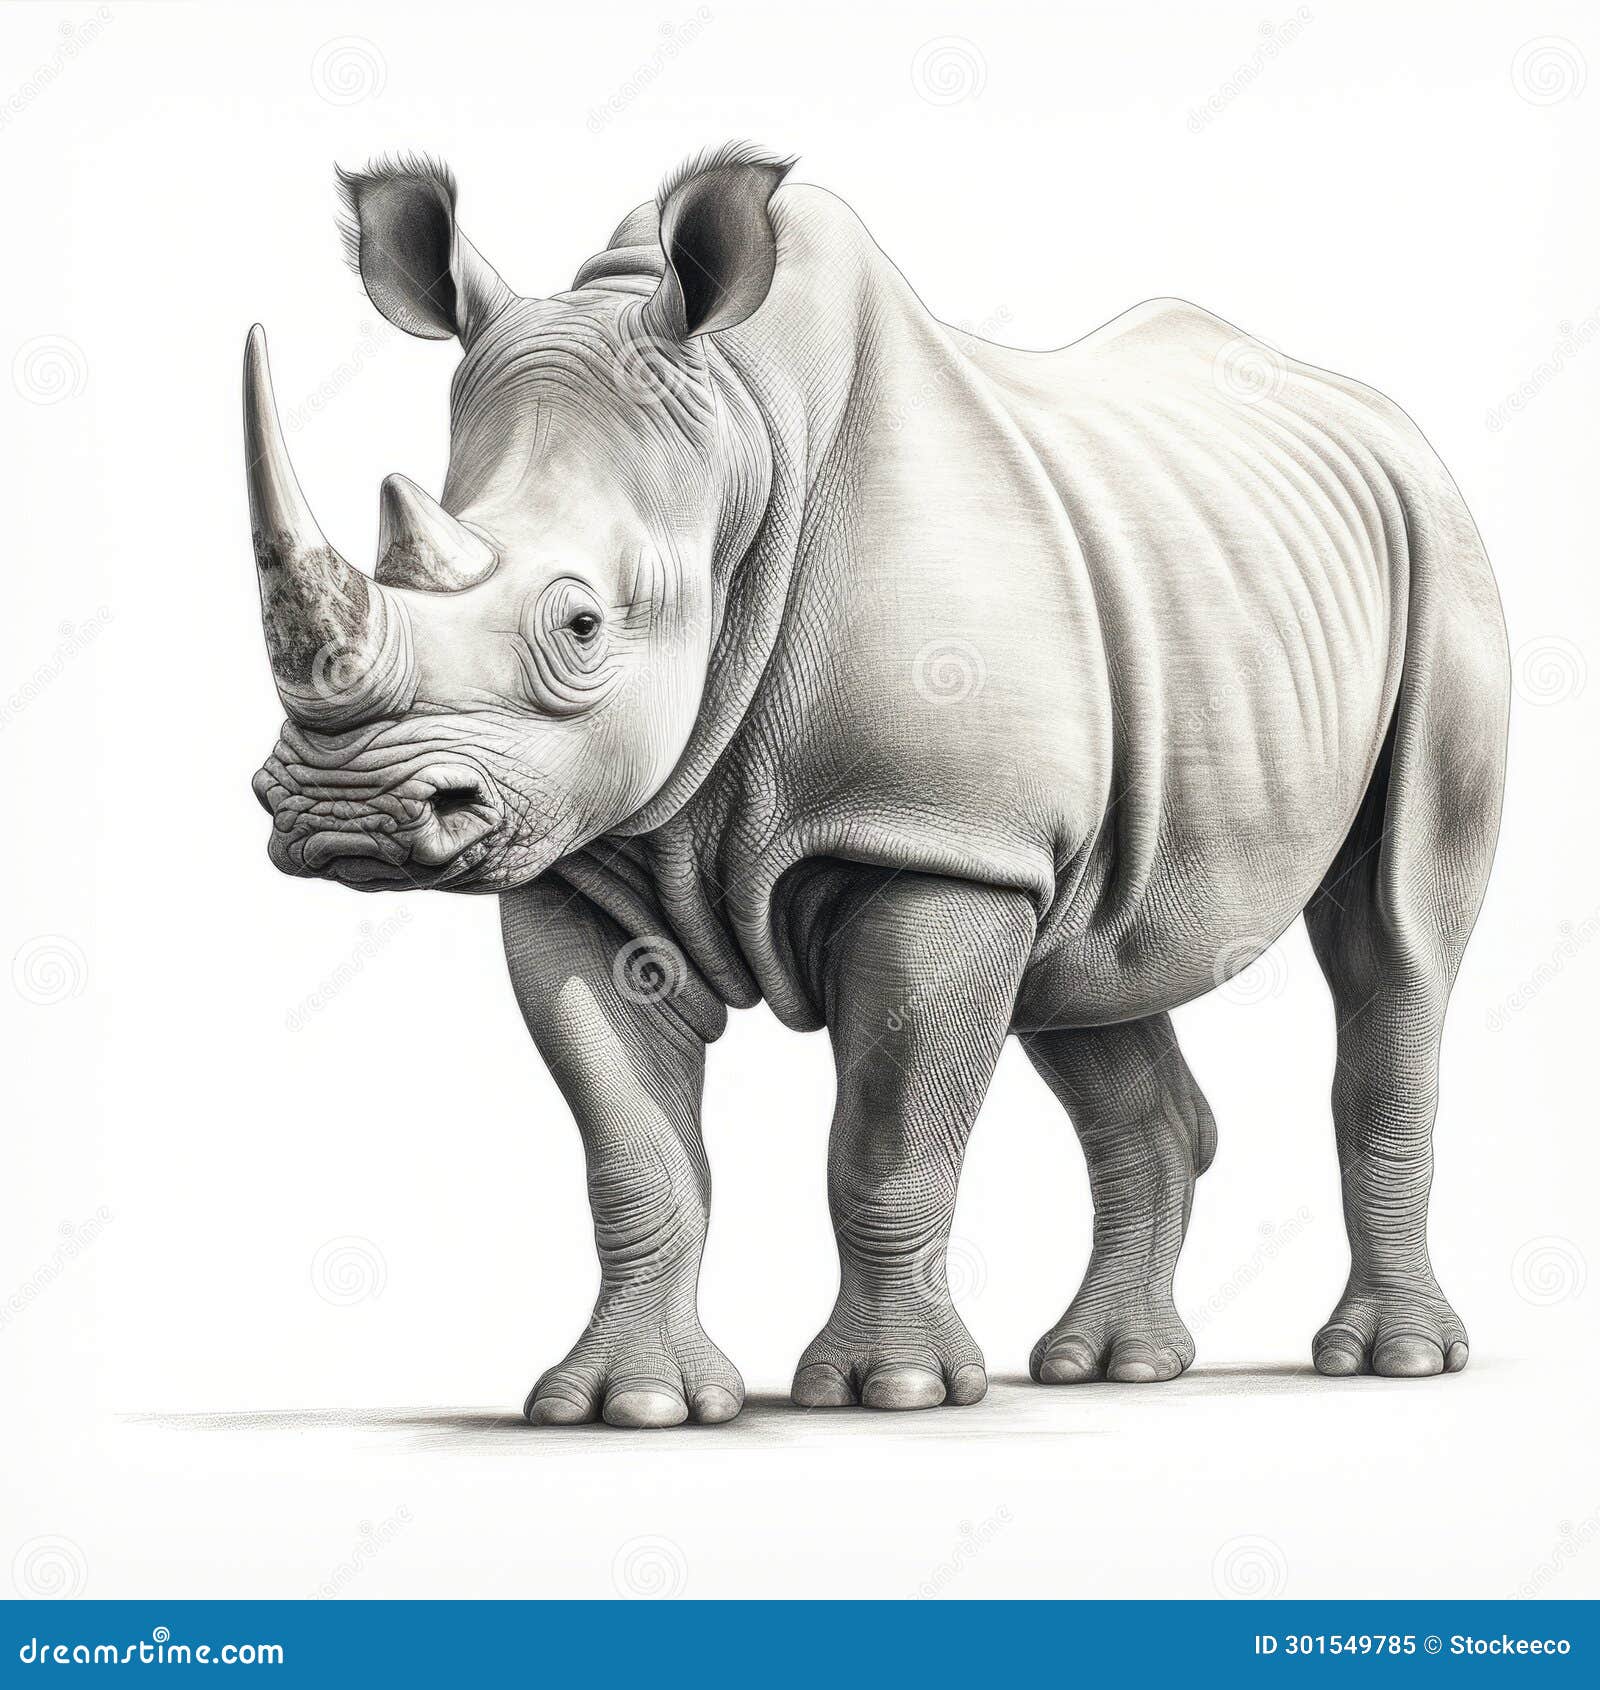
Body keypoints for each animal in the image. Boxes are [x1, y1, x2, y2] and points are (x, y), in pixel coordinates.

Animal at [246, 144, 1508, 1425]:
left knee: (1395, 940)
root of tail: (1385, 423)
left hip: (1441, 552)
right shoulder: (585, 855)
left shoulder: (937, 839)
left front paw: (890, 1388)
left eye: (581, 625)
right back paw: (1109, 1366)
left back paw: (1389, 1359)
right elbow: (632, 1153)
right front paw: (623, 1405)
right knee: (1091, 967)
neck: (737, 445)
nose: (345, 814)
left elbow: (887, 1136)